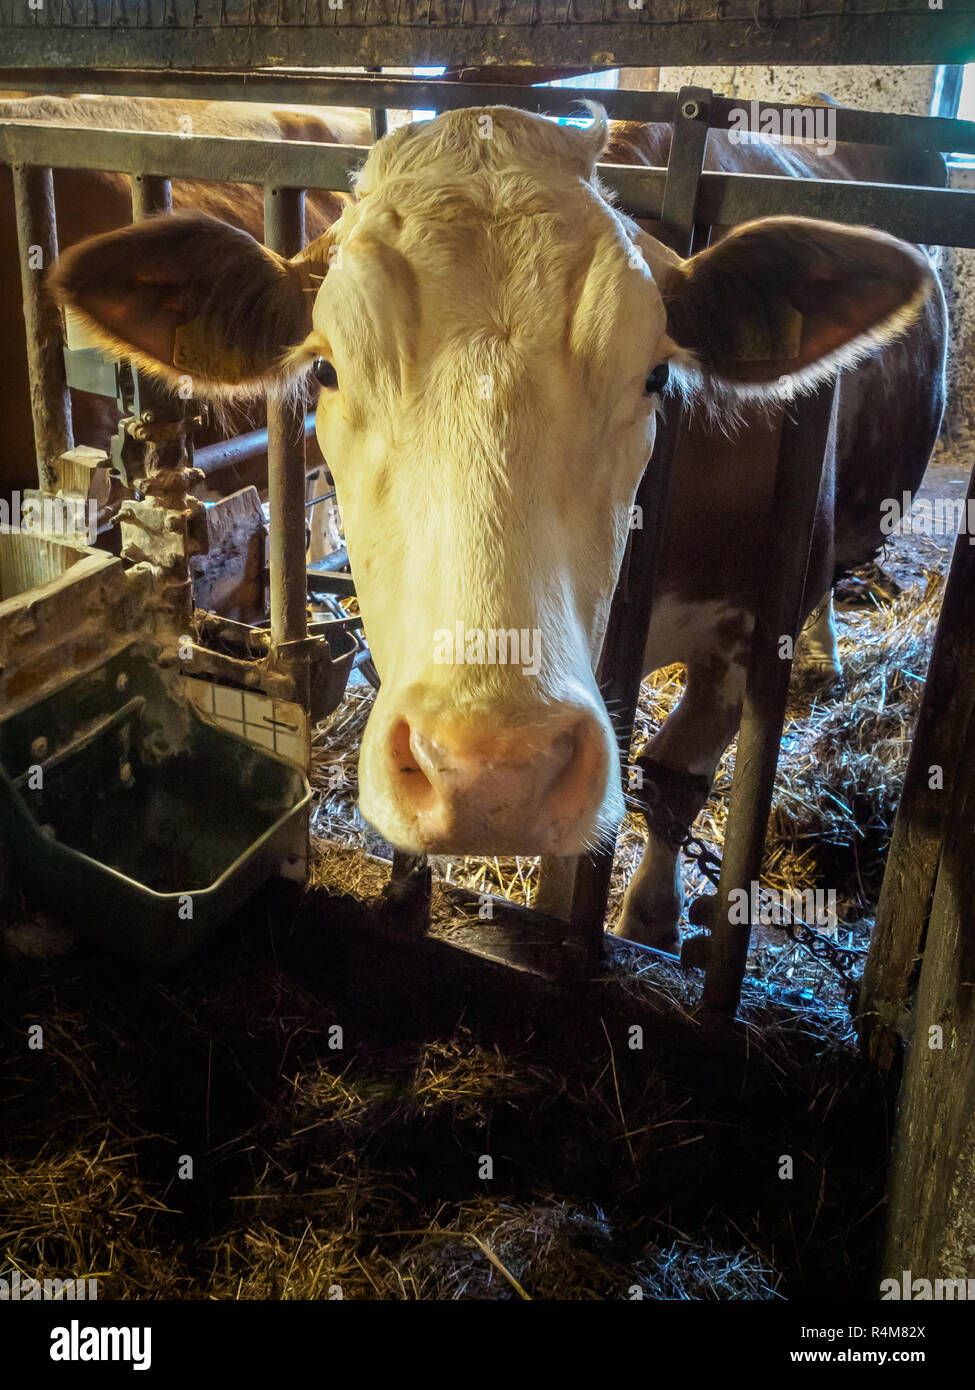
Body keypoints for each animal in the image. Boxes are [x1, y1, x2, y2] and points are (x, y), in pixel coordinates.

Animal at [50, 104, 945, 953]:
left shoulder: (756, 618)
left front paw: (648, 922)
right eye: (328, 369)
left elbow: (674, 781)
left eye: (654, 374)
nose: (495, 773)